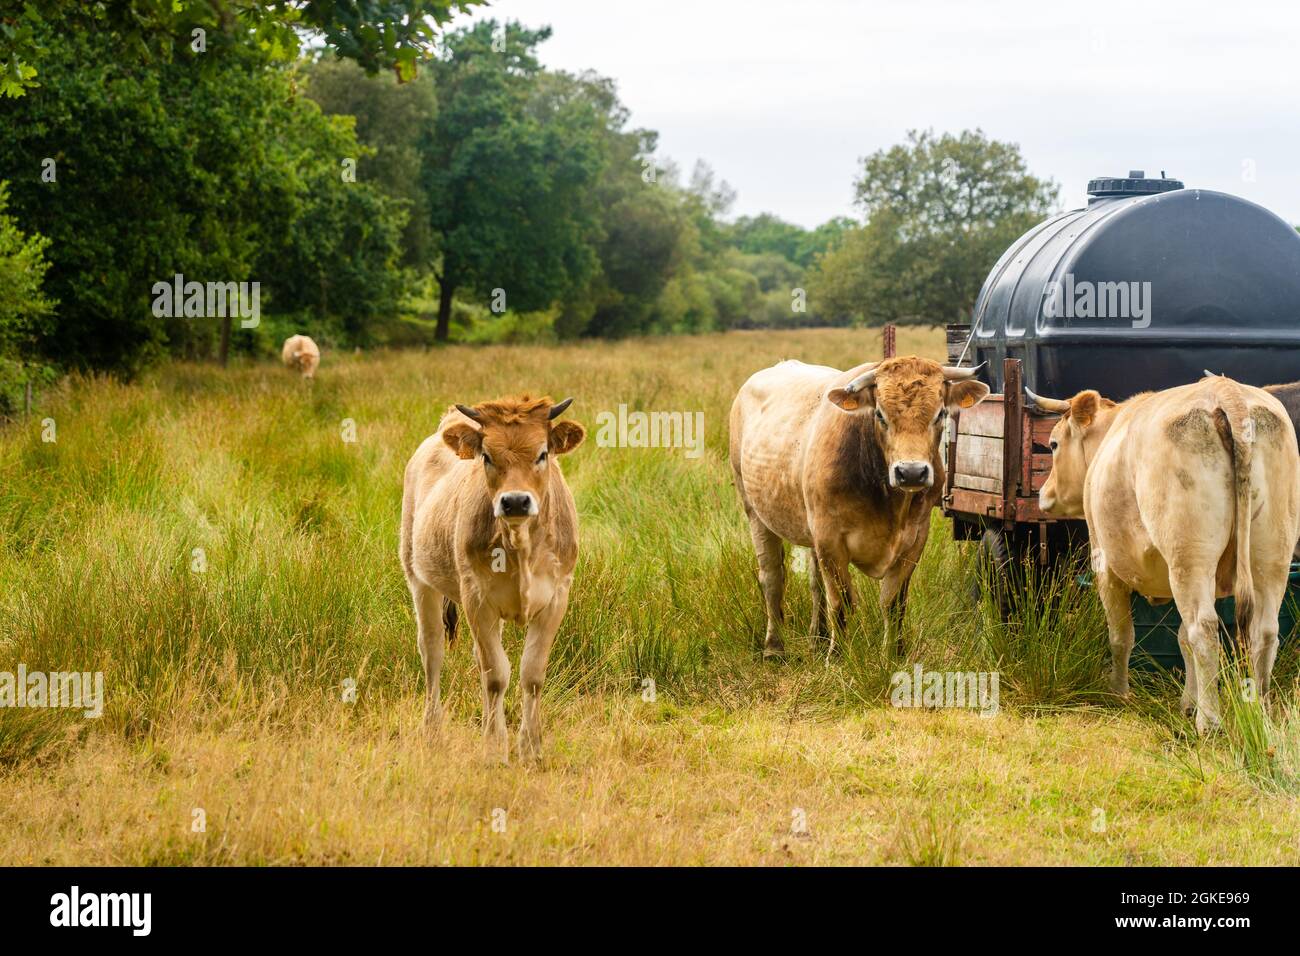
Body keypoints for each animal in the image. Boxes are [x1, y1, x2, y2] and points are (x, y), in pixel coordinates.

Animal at [399, 395, 586, 762]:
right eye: (487, 456)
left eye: (542, 453)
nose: (515, 501)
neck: (521, 547)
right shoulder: (477, 598)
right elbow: (497, 676)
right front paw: (495, 748)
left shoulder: (556, 598)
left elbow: (531, 675)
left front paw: (531, 750)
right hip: (419, 580)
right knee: (432, 652)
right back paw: (432, 730)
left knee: (478, 657)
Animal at [730, 356, 990, 658]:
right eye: (880, 415)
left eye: (939, 414)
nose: (911, 473)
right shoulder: (830, 540)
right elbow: (841, 602)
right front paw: (837, 656)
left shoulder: (914, 541)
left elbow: (893, 603)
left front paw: (893, 654)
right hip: (755, 513)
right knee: (772, 578)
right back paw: (775, 648)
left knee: (815, 584)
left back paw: (817, 639)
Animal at [1028, 377, 1300, 733]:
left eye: (1054, 444)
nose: (1044, 494)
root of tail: (1225, 389)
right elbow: (1182, 639)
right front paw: (1187, 701)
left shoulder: (1105, 566)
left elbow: (1121, 635)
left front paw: (1118, 693)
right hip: (1271, 556)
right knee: (1263, 632)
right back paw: (1260, 713)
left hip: (1189, 559)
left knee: (1204, 630)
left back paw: (1209, 721)